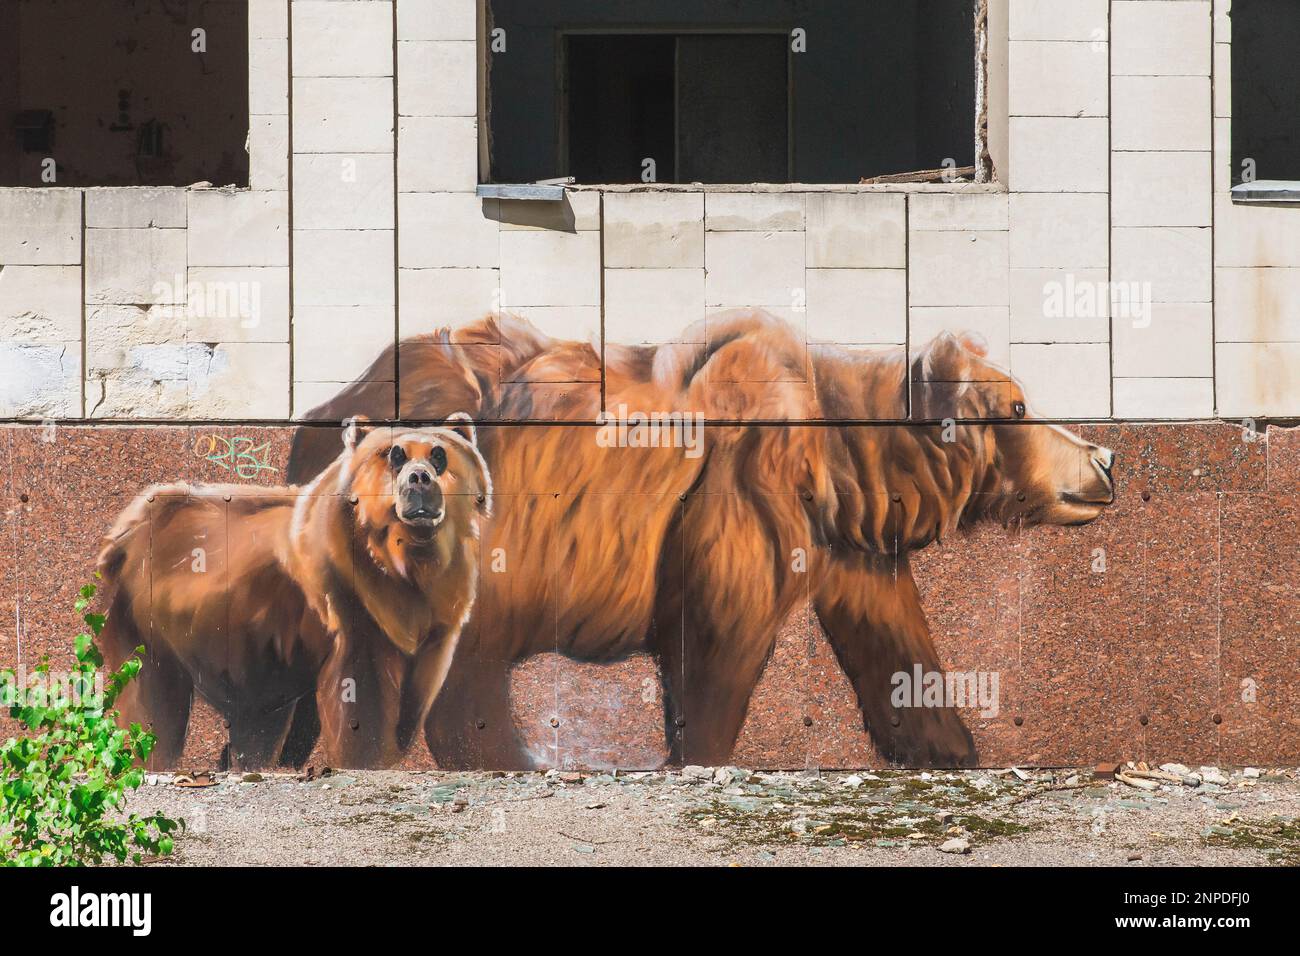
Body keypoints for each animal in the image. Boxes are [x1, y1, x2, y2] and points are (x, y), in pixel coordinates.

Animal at [97, 415, 491, 770]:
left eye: (438, 454)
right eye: (394, 454)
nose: (419, 478)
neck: (404, 563)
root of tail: (124, 528)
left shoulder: (436, 625)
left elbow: (413, 699)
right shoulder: (351, 607)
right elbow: (360, 698)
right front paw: (365, 756)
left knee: (255, 723)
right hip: (147, 621)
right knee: (149, 701)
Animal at [287, 310, 1115, 769]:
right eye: (1020, 405)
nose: (1105, 458)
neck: (843, 459)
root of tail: (329, 406)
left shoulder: (846, 545)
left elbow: (892, 636)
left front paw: (948, 746)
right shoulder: (736, 500)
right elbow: (721, 645)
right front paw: (697, 753)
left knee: (462, 667)